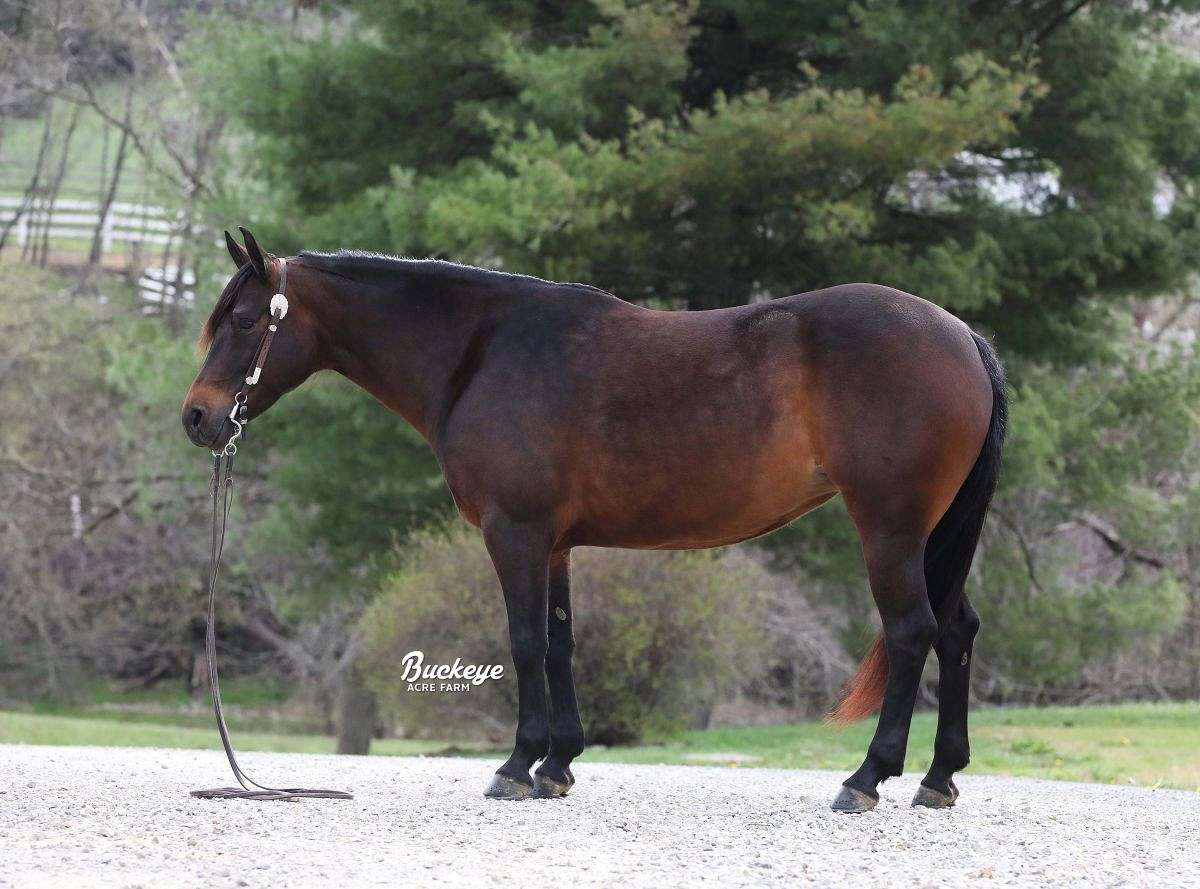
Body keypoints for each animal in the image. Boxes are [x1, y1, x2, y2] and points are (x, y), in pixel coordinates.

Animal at [183, 228, 1006, 813]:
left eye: (246, 319)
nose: (196, 418)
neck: (481, 353)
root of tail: (961, 334)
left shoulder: (513, 532)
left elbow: (523, 641)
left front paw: (517, 764)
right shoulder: (554, 544)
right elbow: (560, 642)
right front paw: (558, 764)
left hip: (890, 527)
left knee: (913, 631)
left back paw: (867, 778)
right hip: (932, 535)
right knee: (958, 628)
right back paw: (939, 779)